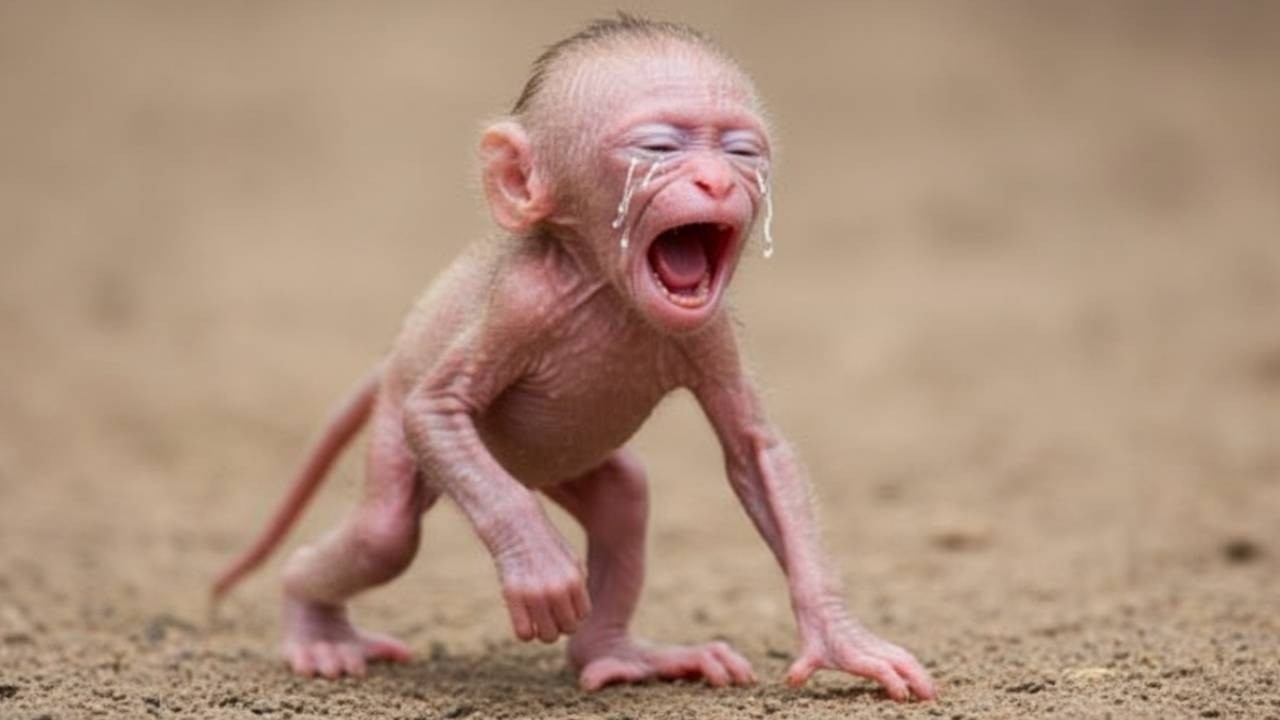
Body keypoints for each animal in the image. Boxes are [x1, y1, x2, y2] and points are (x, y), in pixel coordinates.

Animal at [212, 15, 936, 702]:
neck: (606, 290)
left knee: (624, 499)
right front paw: (538, 565)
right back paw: (315, 627)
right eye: (658, 148)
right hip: (407, 429)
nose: (716, 180)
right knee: (384, 532)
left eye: (742, 151)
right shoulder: (519, 304)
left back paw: (618, 656)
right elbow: (438, 407)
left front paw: (842, 638)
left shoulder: (710, 331)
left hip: (555, 464)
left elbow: (757, 450)